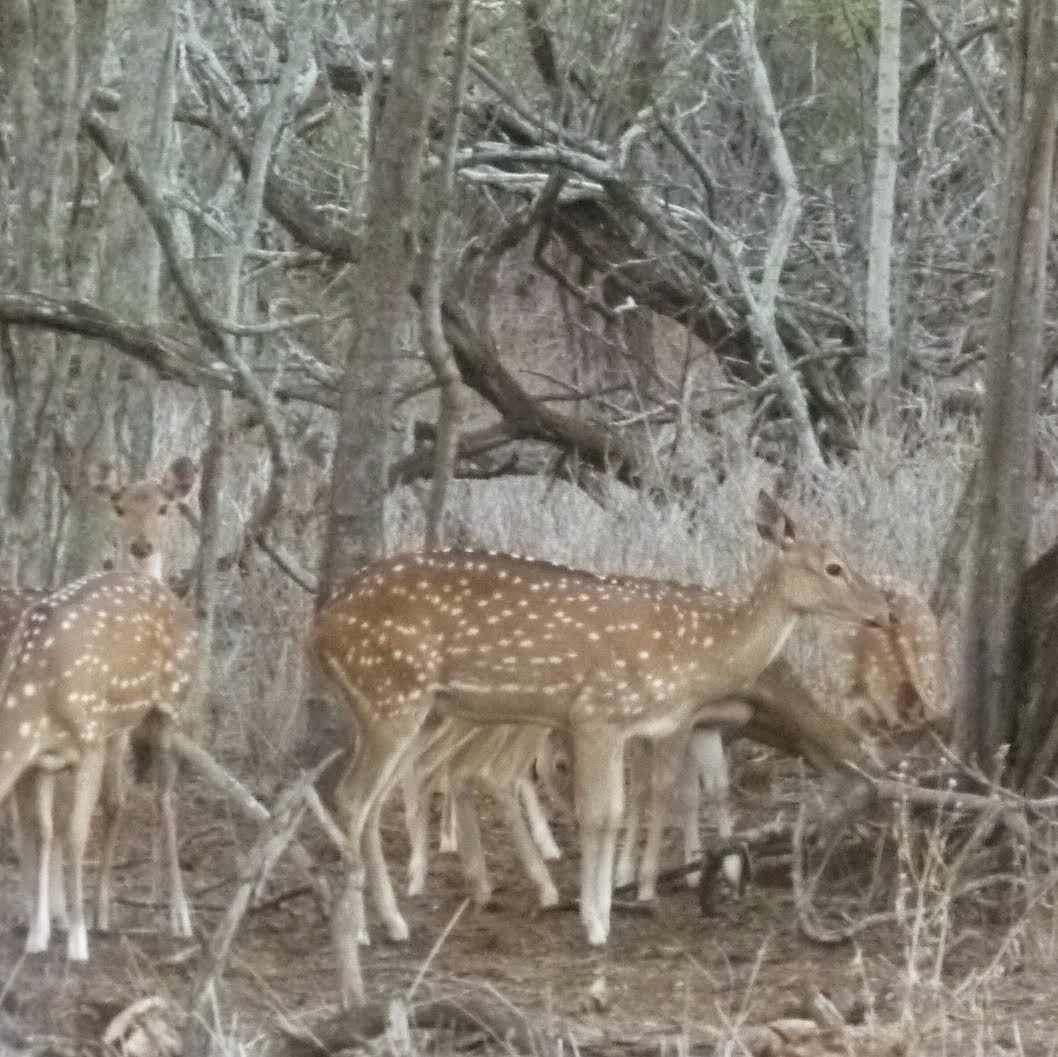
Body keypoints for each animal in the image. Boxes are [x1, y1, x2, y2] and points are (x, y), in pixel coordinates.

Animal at [4, 454, 198, 959]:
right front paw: (44, 930)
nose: (141, 544)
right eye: (118, 505)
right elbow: (47, 828)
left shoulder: (93, 737)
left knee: (164, 798)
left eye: (166, 507)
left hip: (172, 704)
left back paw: (181, 918)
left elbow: (78, 829)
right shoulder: (47, 760)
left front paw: (78, 935)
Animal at [311, 491, 892, 1005]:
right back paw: (368, 928)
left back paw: (390, 921)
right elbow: (600, 813)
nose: (883, 611)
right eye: (834, 567)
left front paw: (607, 904)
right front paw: (597, 919)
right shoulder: (598, 713)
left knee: (373, 800)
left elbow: (615, 810)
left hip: (404, 709)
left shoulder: (624, 725)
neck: (695, 657)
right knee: (353, 797)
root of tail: (316, 628)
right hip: (392, 695)